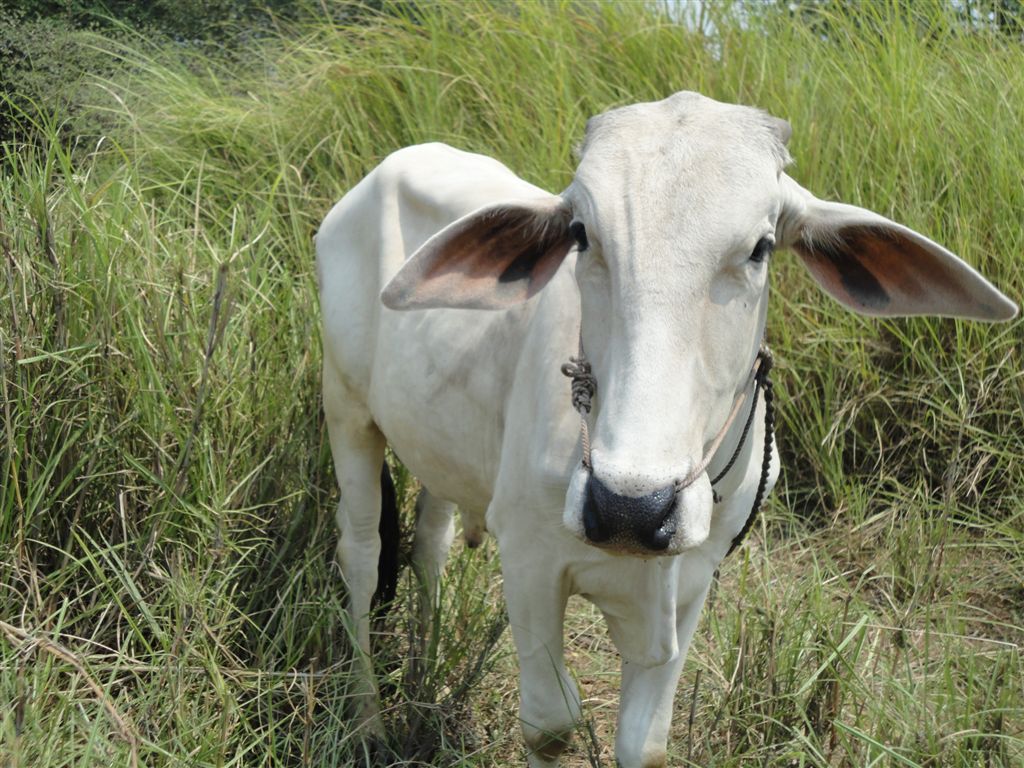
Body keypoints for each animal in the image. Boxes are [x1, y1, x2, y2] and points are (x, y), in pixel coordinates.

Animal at [315, 91, 1016, 767]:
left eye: (761, 247)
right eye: (580, 234)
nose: (629, 508)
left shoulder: (696, 574)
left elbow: (644, 743)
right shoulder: (529, 560)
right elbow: (551, 726)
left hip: (435, 447)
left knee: (429, 546)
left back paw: (423, 668)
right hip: (345, 408)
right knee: (363, 557)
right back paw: (369, 722)